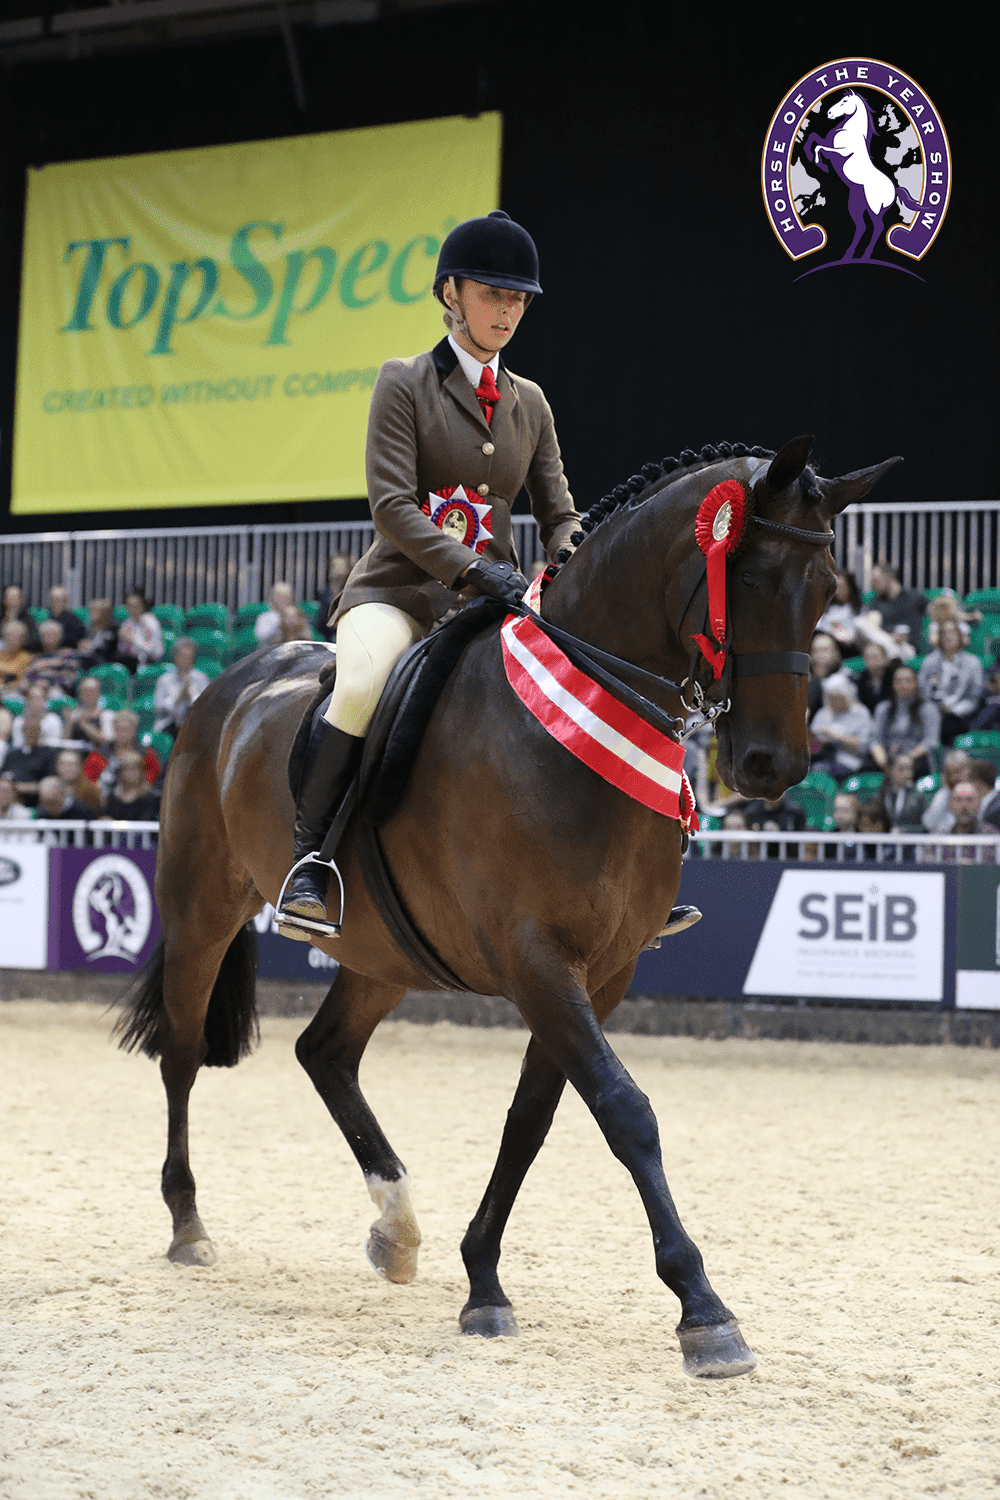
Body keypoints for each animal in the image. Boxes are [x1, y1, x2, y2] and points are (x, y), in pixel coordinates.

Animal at [116, 435, 900, 1379]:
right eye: (746, 575)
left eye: (827, 589)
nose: (770, 767)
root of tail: (231, 684)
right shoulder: (534, 958)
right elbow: (626, 1111)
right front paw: (704, 1312)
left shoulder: (601, 972)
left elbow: (533, 1119)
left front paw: (482, 1280)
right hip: (202, 905)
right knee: (183, 1052)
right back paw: (189, 1224)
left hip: (382, 952)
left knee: (324, 1053)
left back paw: (396, 1228)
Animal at [802, 91, 922, 261]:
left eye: (844, 101)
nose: (829, 113)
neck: (851, 132)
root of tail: (894, 190)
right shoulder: (828, 142)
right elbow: (813, 137)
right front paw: (809, 154)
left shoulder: (840, 153)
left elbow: (820, 147)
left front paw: (821, 165)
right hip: (857, 205)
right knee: (862, 226)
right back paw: (849, 256)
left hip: (874, 209)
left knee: (878, 227)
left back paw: (865, 255)